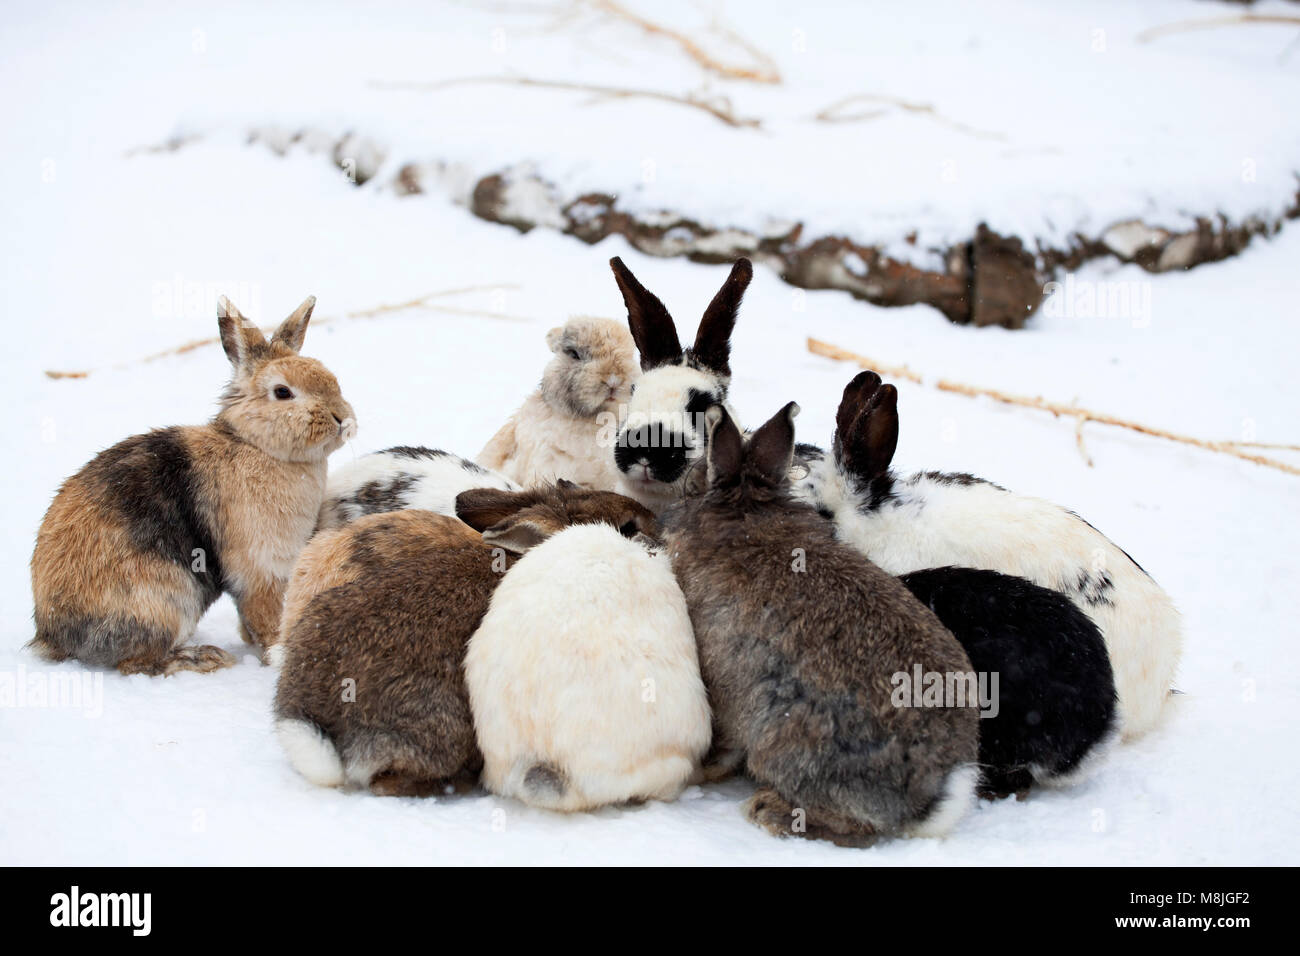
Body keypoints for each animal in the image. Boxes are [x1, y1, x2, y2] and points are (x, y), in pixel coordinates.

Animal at [30, 295, 356, 676]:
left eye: (330, 376)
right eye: (282, 392)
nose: (342, 419)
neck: (256, 445)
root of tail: (52, 635)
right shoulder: (261, 569)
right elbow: (266, 613)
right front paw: (276, 653)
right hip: (165, 603)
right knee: (137, 663)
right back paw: (202, 657)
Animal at [660, 401, 980, 846]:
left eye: (692, 485)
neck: (746, 505)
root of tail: (935, 793)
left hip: (785, 738)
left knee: (855, 826)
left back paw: (769, 809)